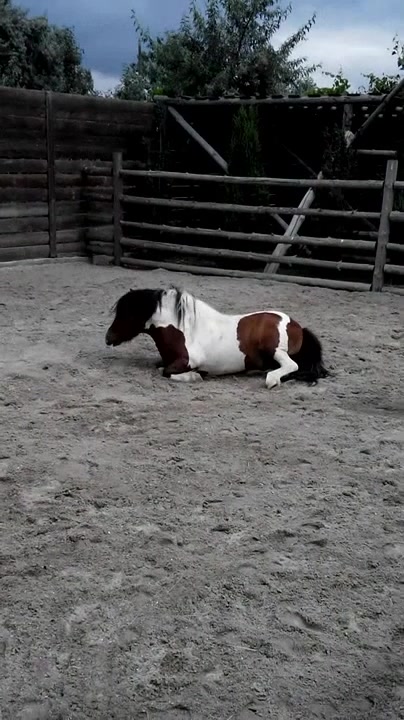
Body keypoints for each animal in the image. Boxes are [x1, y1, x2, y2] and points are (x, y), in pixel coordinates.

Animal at [105, 286, 329, 389]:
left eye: (126, 314)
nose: (108, 338)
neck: (184, 331)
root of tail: (297, 326)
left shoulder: (187, 361)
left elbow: (166, 372)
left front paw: (196, 376)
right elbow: (160, 366)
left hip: (274, 349)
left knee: (291, 366)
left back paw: (272, 379)